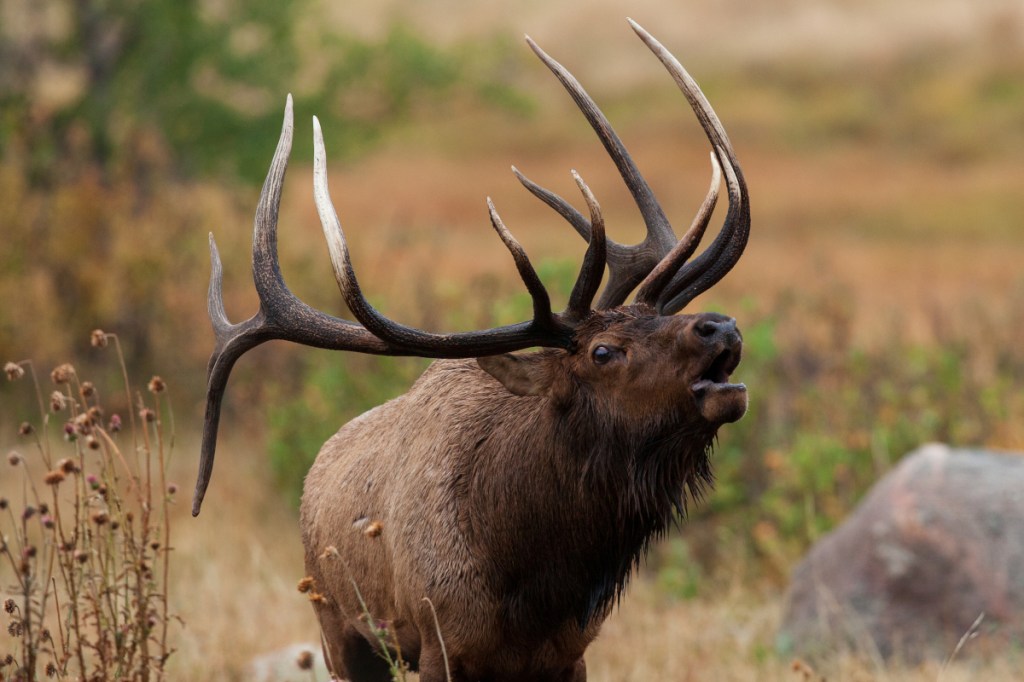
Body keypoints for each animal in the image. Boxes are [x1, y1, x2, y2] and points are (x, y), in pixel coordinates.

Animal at [192, 19, 749, 682]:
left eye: (660, 316)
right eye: (602, 352)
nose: (721, 327)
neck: (534, 580)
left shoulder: (572, 655)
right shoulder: (442, 645)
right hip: (337, 626)